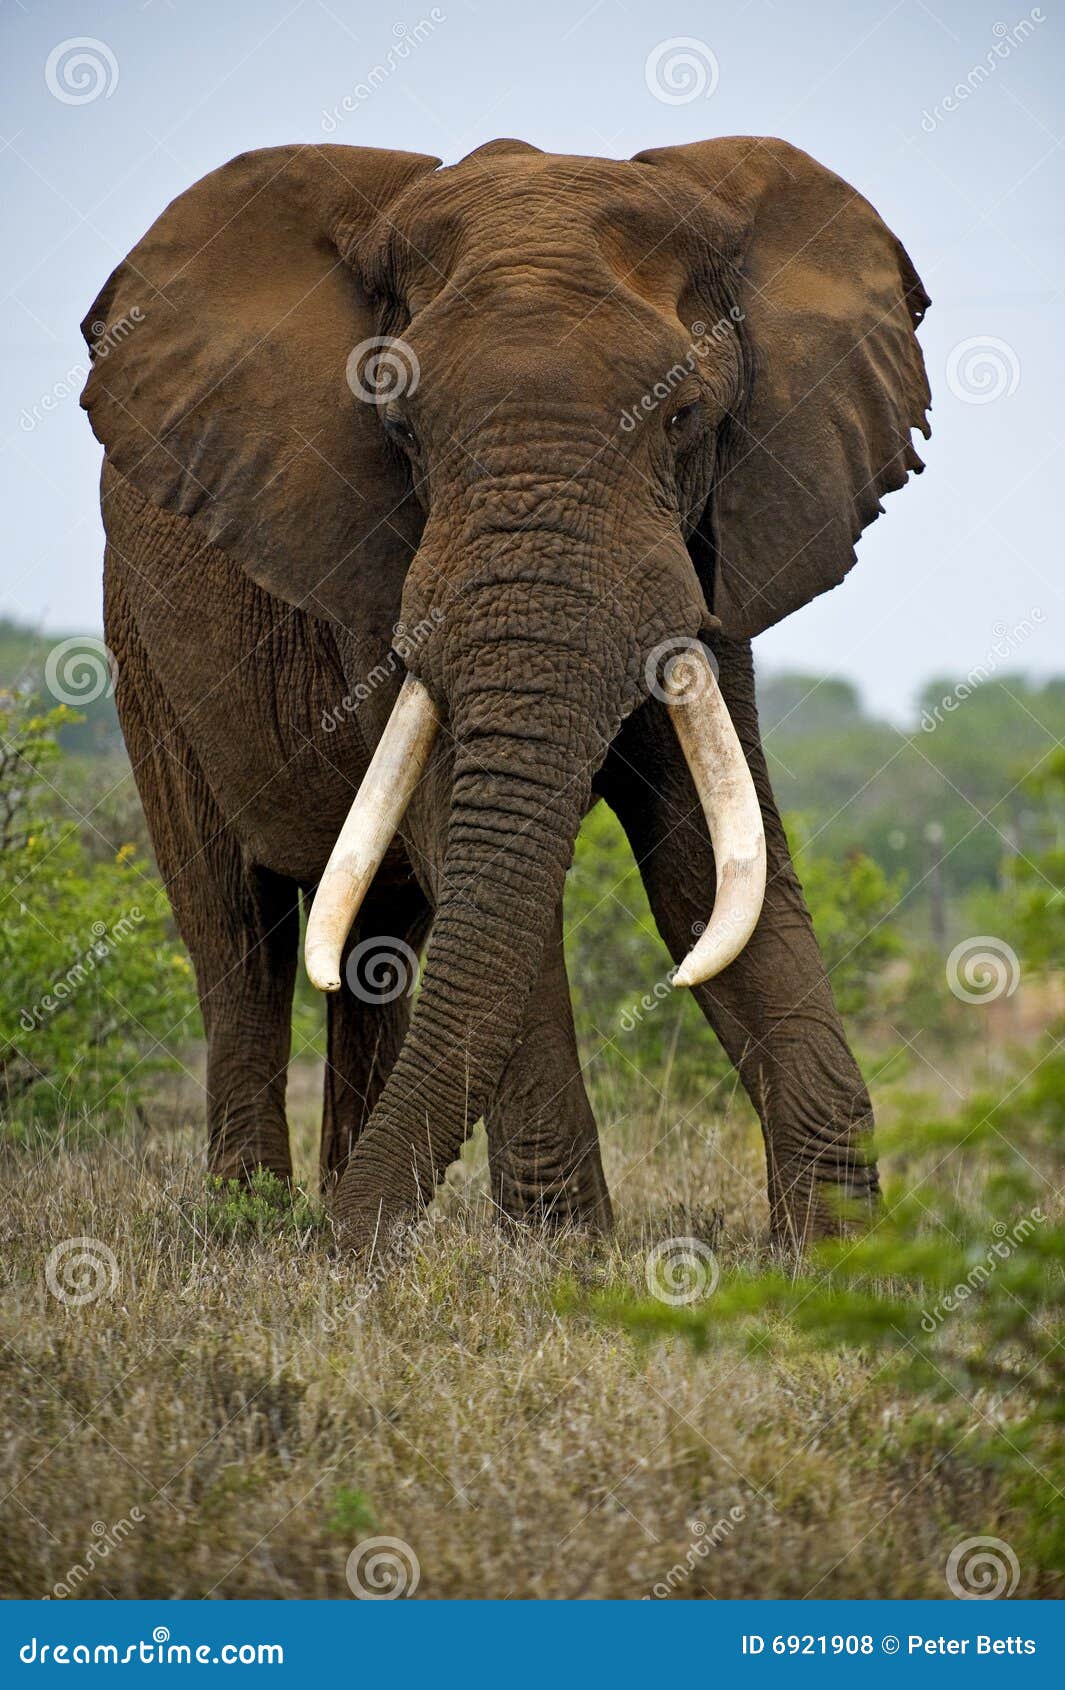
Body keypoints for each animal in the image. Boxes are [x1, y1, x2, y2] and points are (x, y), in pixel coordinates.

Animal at [80, 135, 930, 1258]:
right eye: (399, 428)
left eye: (684, 416)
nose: (344, 1241)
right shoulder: (373, 566)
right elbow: (469, 837)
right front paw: (560, 1259)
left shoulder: (712, 551)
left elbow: (705, 862)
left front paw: (836, 1260)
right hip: (141, 646)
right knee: (236, 931)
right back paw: (256, 1227)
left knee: (377, 944)